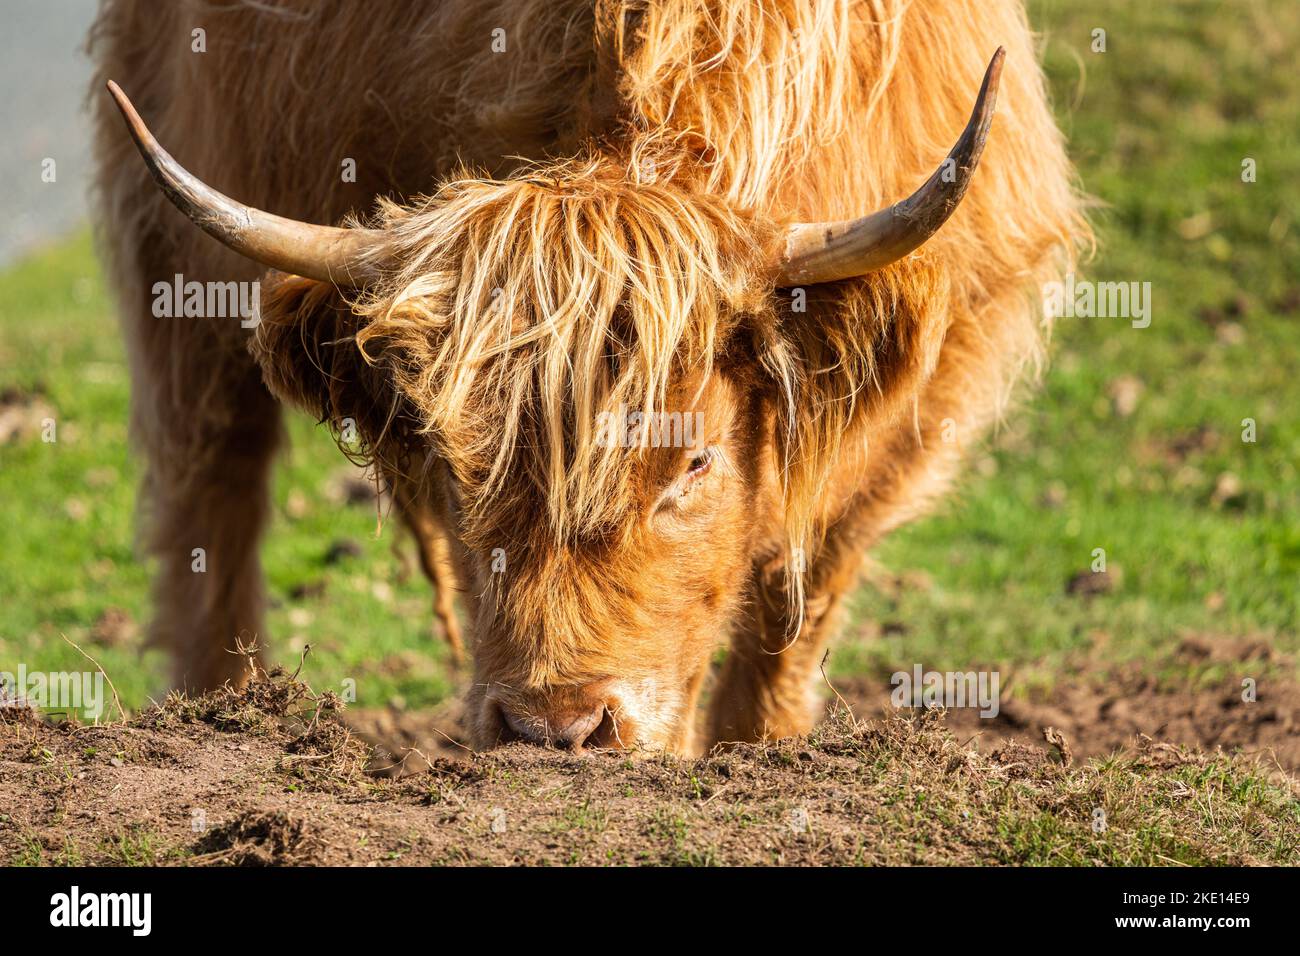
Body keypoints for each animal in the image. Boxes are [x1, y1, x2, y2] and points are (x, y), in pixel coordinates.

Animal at [90, 0, 1087, 754]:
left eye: (694, 464)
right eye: (451, 467)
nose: (555, 730)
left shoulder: (936, 378)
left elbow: (795, 597)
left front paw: (757, 752)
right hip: (178, 260)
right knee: (213, 497)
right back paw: (227, 716)